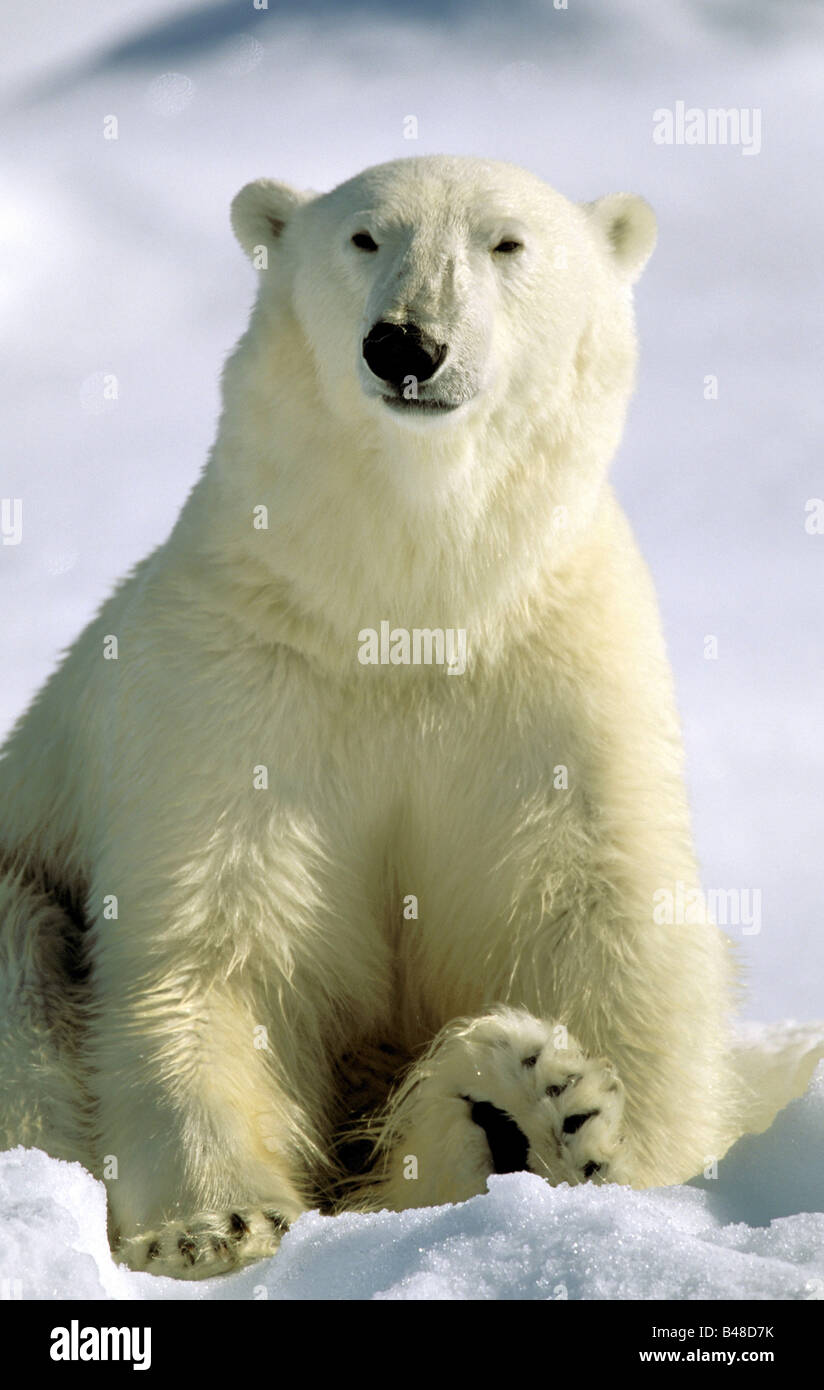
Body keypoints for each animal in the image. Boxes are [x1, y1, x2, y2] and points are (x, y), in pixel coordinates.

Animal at [0, 155, 739, 1279]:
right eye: (364, 237)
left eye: (506, 242)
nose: (406, 343)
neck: (404, 605)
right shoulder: (233, 688)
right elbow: (212, 951)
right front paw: (216, 1221)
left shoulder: (553, 679)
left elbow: (600, 922)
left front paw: (613, 1146)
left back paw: (520, 1105)